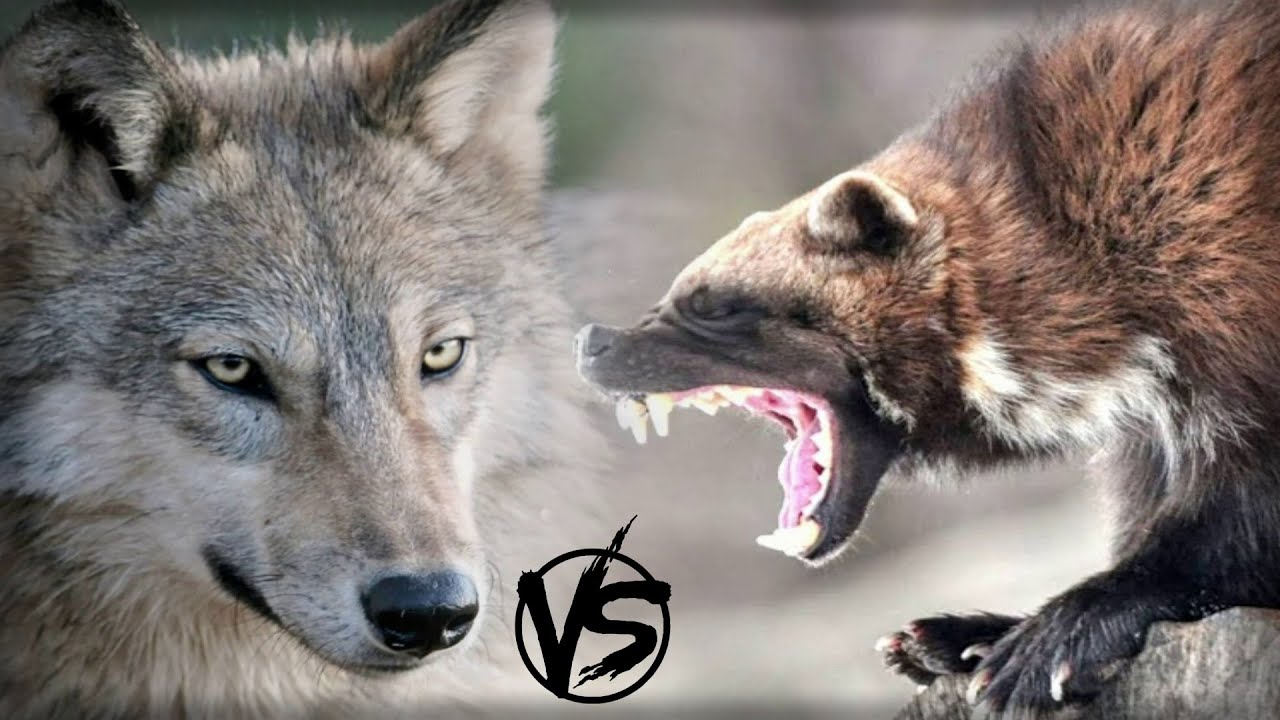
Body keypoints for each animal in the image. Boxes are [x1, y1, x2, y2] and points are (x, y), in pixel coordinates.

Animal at [577, 0, 1280, 714]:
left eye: (717, 304)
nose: (594, 340)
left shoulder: (1236, 335)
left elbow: (1228, 529)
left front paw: (1059, 632)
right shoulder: (1157, 423)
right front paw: (967, 633)